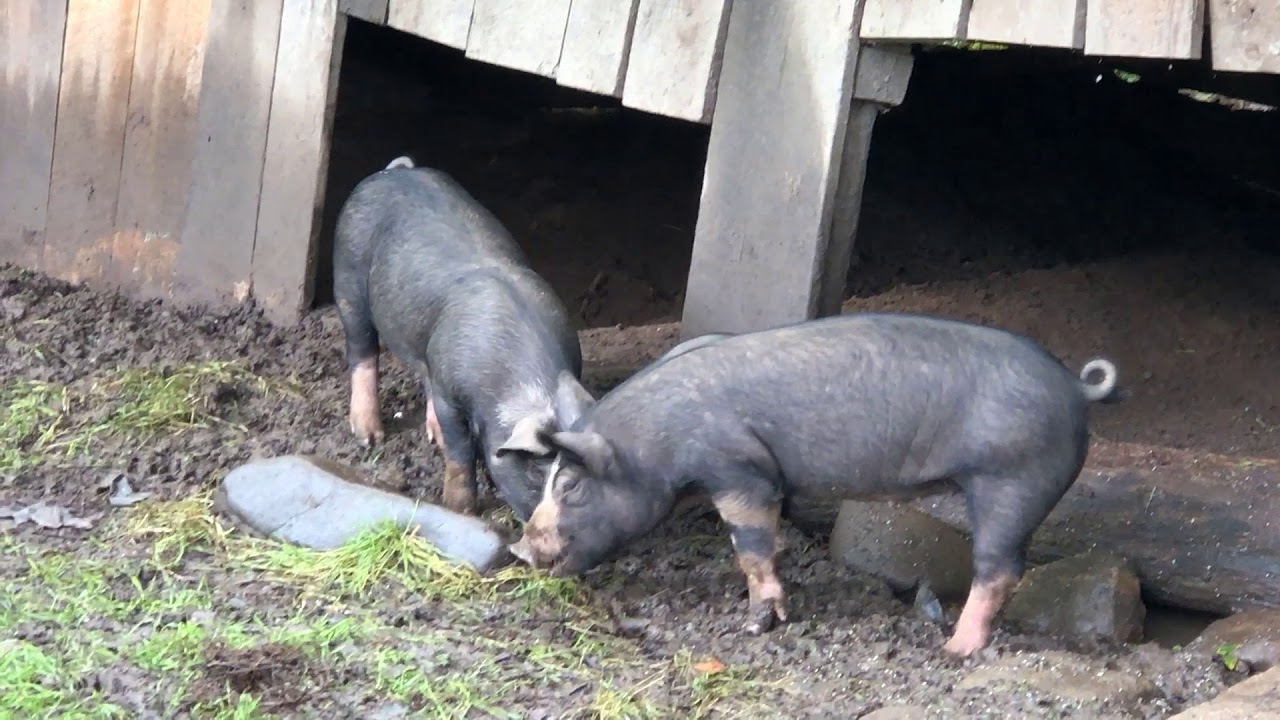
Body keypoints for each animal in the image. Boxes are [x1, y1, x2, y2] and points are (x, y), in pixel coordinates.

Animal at [332, 155, 594, 522]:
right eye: (535, 476)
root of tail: (396, 171)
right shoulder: (449, 392)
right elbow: (460, 451)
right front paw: (459, 507)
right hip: (347, 280)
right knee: (362, 351)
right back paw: (369, 436)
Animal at [501, 312, 1125, 657]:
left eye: (571, 487)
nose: (520, 547)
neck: (654, 444)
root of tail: (1076, 387)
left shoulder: (740, 470)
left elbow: (752, 547)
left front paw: (757, 624)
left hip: (1014, 479)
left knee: (1000, 568)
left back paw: (954, 649)